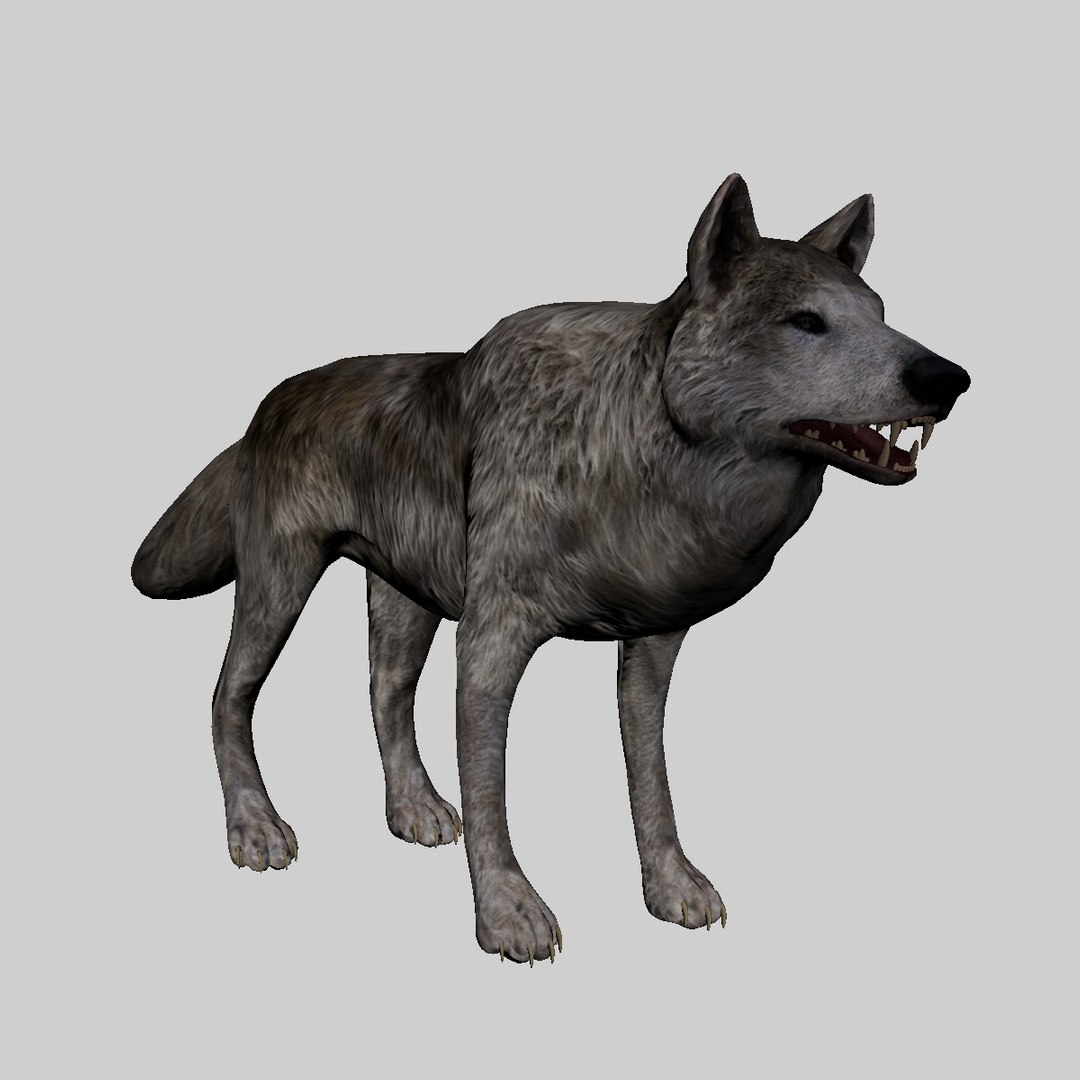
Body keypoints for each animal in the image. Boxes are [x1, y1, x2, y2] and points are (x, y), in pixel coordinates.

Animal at [132, 174, 970, 965]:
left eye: (881, 313)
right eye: (806, 322)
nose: (948, 379)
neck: (630, 449)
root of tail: (269, 404)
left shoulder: (653, 646)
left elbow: (650, 778)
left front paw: (671, 887)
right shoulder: (490, 640)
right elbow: (492, 790)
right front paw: (508, 914)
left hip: (406, 597)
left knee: (384, 694)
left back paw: (414, 810)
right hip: (280, 584)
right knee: (228, 694)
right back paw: (254, 826)